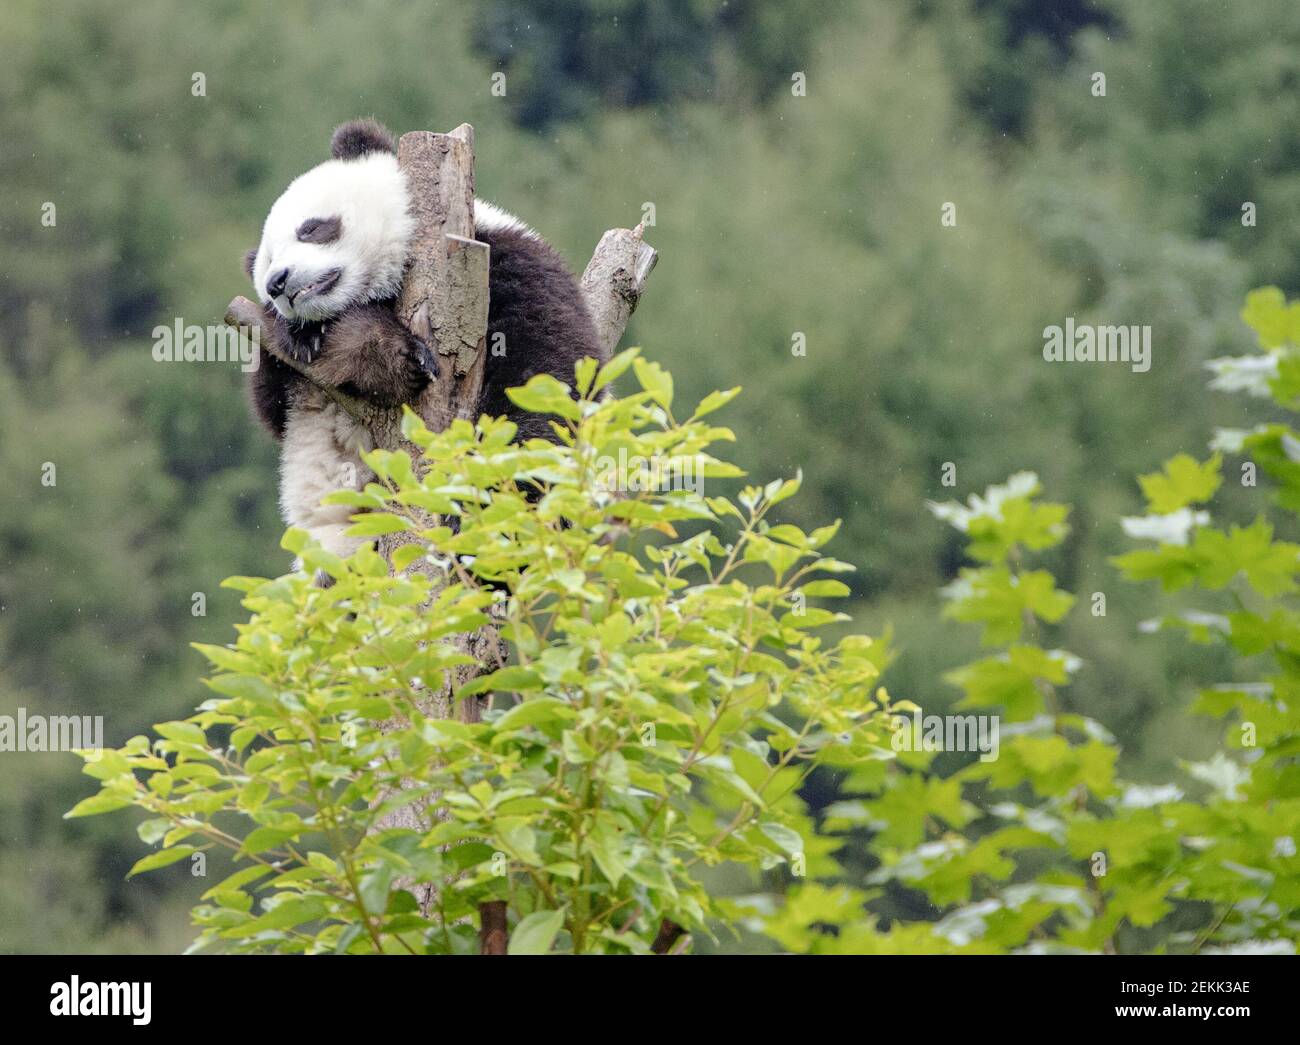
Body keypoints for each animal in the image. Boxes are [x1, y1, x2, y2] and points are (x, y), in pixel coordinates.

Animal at [244, 118, 604, 562]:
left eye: (311, 228)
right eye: (265, 265)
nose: (278, 282)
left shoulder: (508, 259)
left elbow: (545, 375)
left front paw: (477, 505)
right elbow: (272, 402)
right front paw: (329, 338)